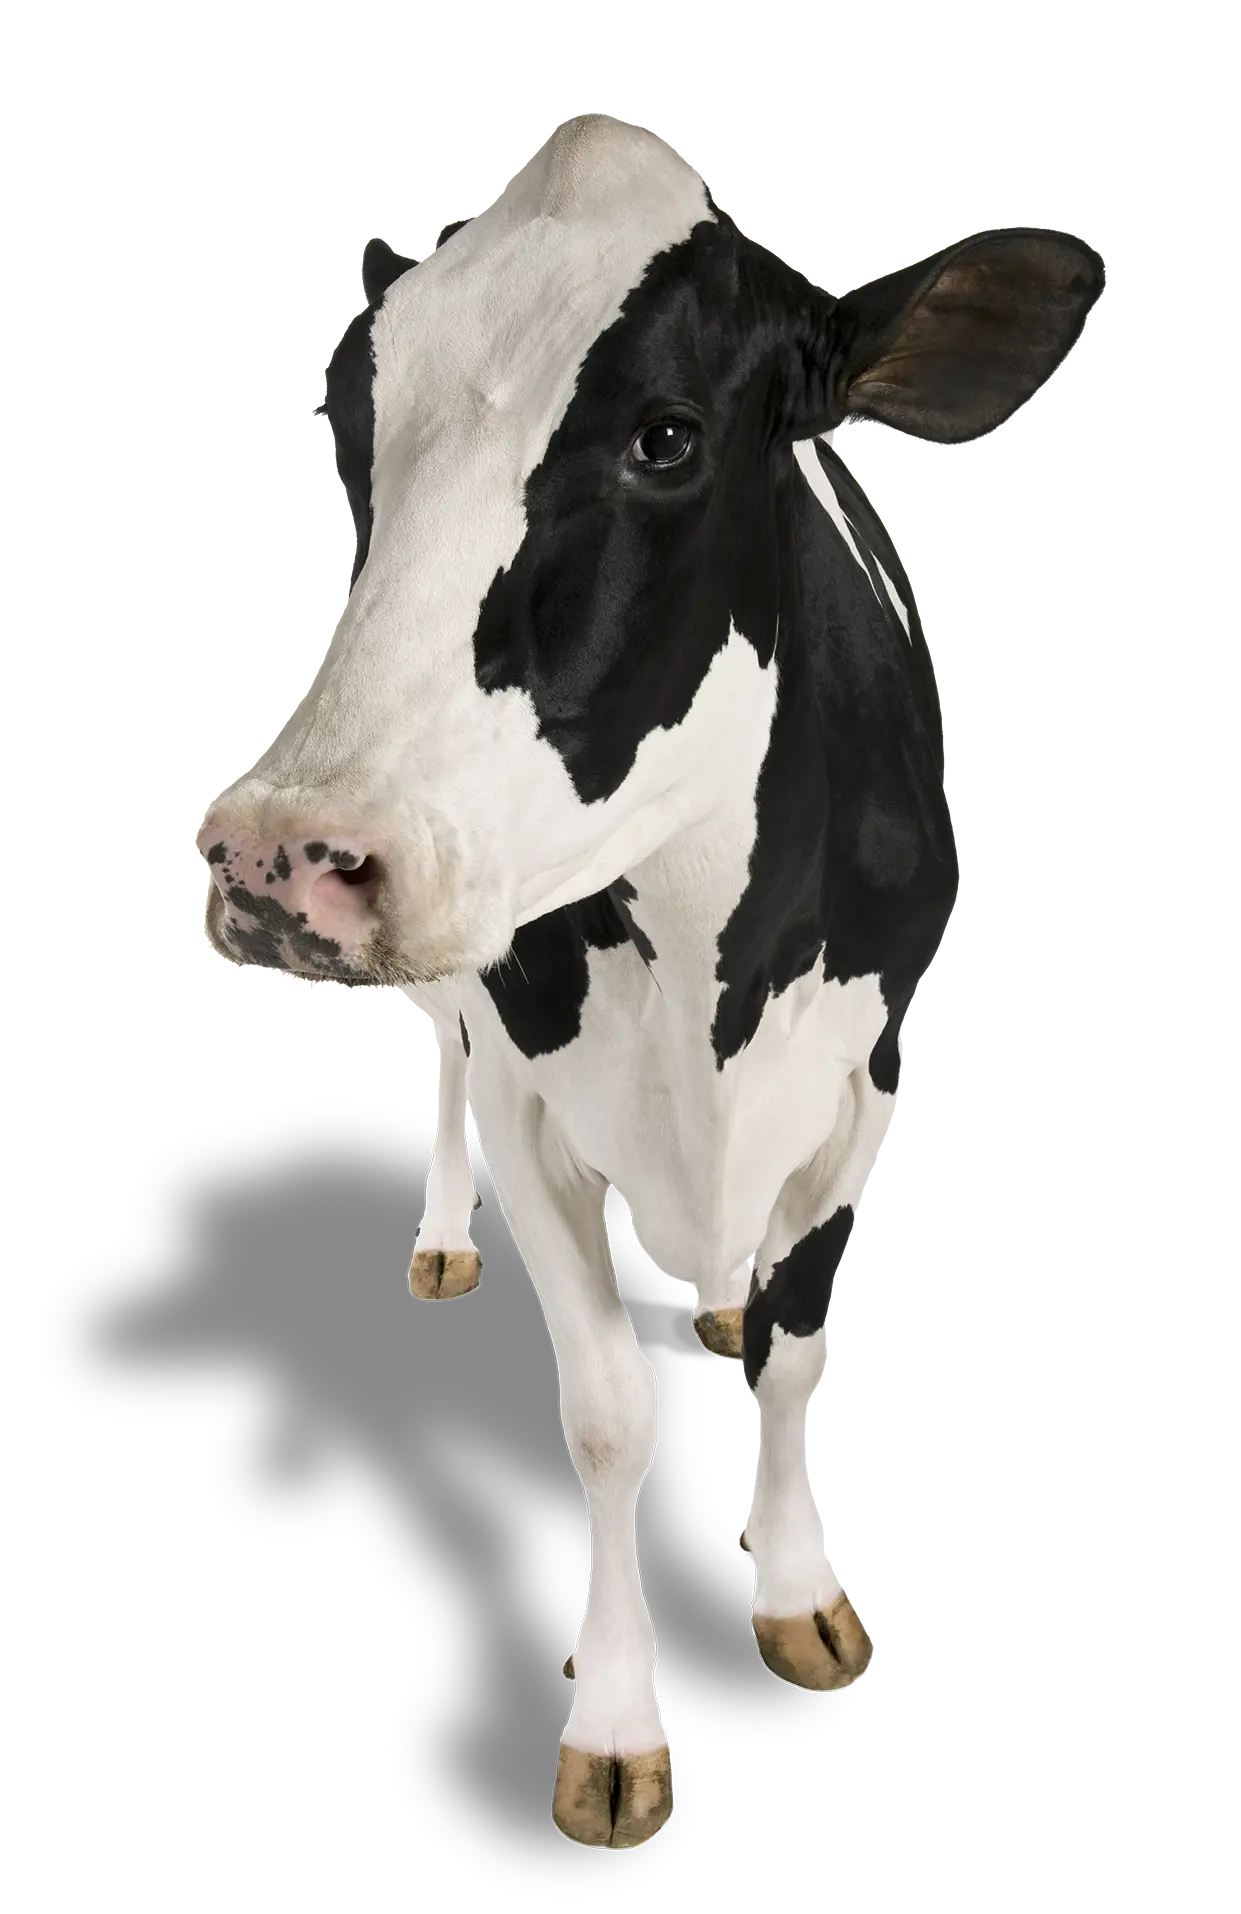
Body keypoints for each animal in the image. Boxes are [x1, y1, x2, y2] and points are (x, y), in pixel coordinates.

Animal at [193, 114, 1104, 1849]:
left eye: (668, 437)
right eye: (349, 416)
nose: (282, 853)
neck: (703, 971)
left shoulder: (873, 1070)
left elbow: (802, 1349)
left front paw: (799, 1592)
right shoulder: (533, 1081)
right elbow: (609, 1407)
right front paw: (614, 1722)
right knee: (438, 1070)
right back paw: (439, 1236)